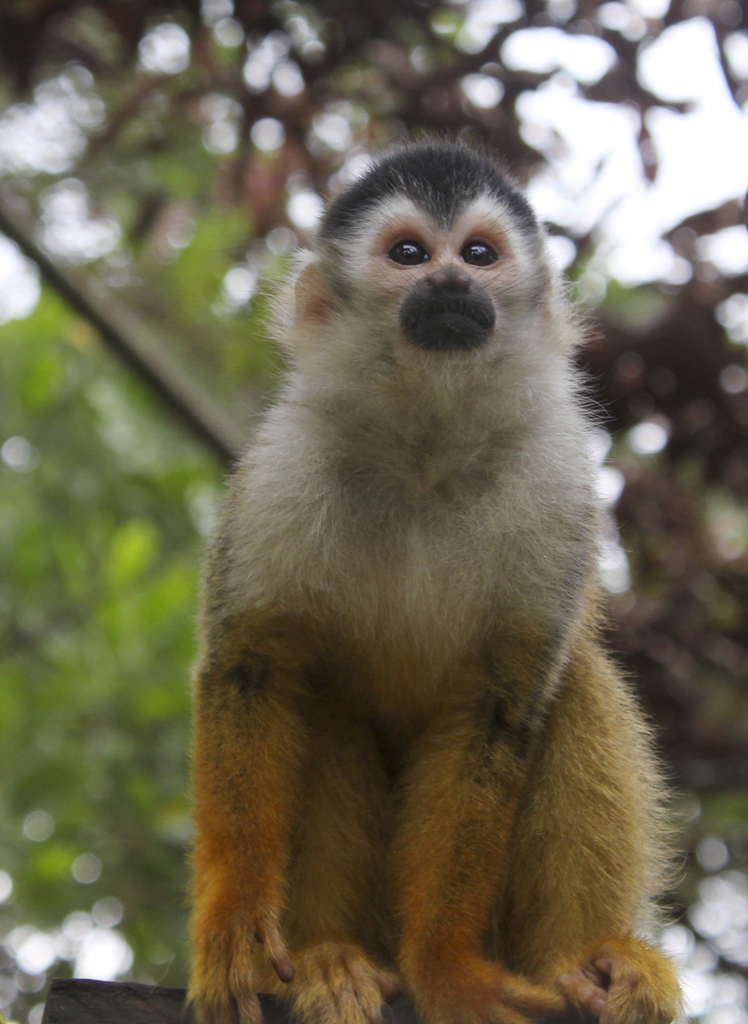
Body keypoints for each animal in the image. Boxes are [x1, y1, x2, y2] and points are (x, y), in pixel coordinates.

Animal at [188, 140, 683, 1024]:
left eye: (480, 253)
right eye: (411, 253)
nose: (452, 282)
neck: (427, 447)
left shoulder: (557, 477)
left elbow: (497, 703)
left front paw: (448, 968)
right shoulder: (284, 465)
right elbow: (253, 668)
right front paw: (236, 924)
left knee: (574, 682)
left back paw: (587, 965)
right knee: (326, 698)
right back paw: (328, 961)